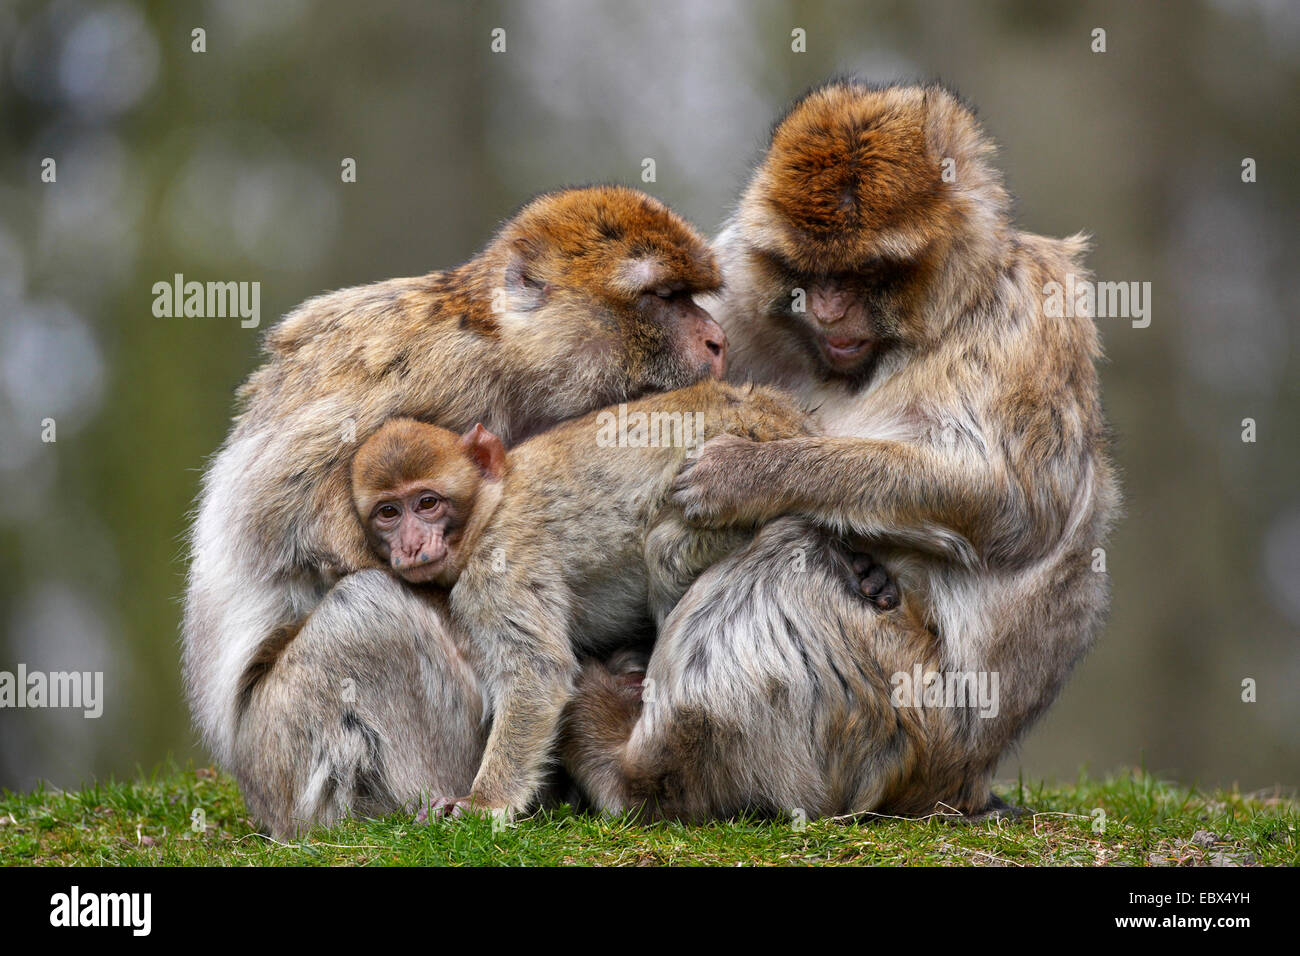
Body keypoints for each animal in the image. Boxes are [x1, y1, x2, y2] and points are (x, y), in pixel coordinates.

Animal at [182, 185, 728, 838]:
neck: (513, 358)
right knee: (371, 612)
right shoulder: (442, 374)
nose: (717, 339)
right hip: (285, 764)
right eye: (663, 298)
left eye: (692, 297)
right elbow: (293, 518)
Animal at [347, 377, 817, 819]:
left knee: (668, 550)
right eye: (389, 512)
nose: (410, 545)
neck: (491, 508)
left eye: (427, 503)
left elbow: (537, 671)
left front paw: (484, 801)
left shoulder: (498, 567)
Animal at [562, 80, 1120, 823]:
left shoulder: (1027, 313)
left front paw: (751, 475)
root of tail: (963, 783)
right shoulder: (742, 289)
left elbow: (1008, 502)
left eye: (864, 273)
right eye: (806, 272)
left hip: (908, 723)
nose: (826, 310)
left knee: (789, 562)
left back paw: (642, 774)